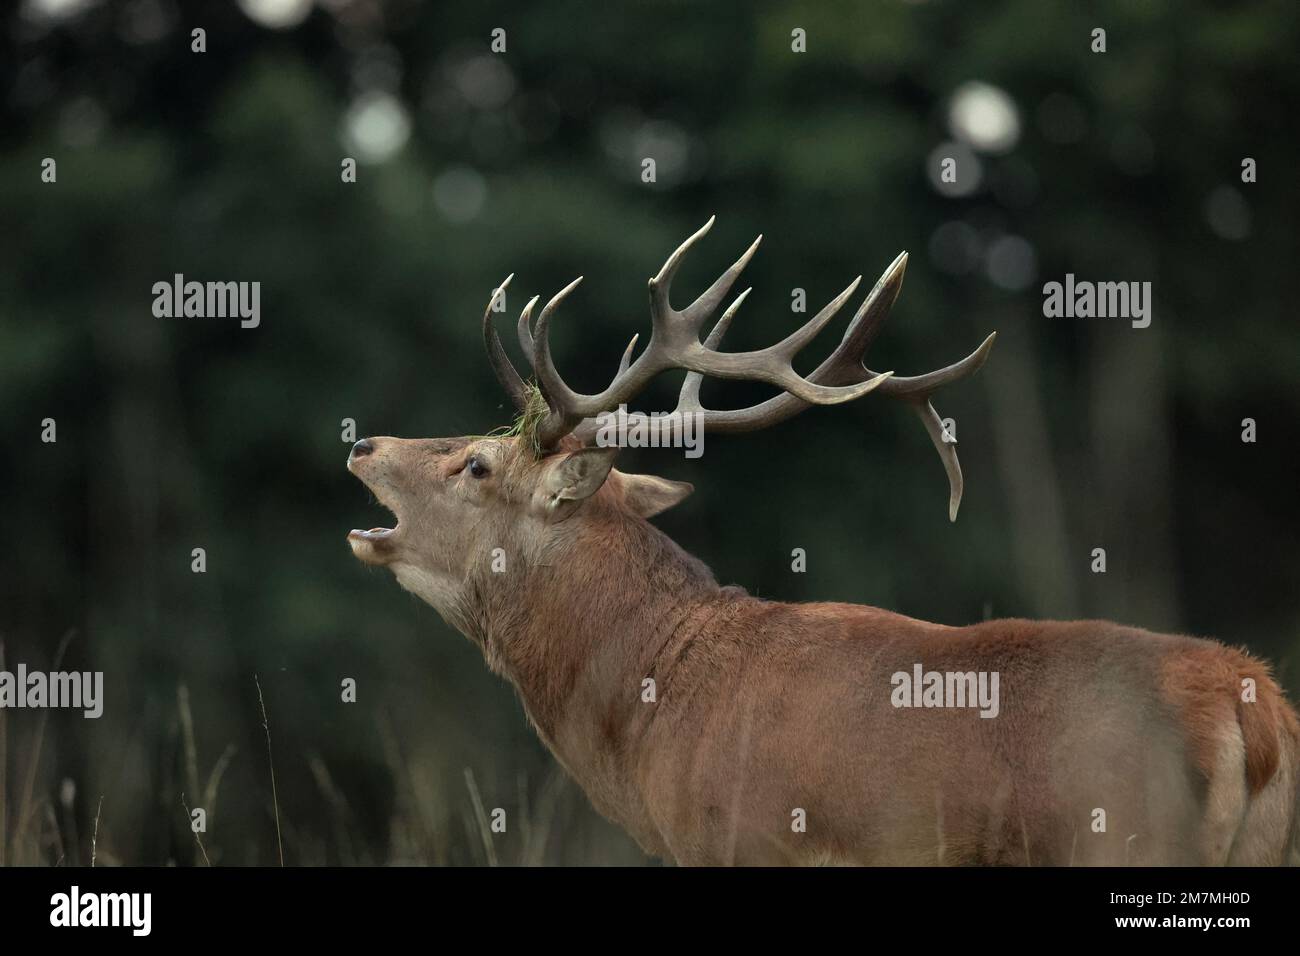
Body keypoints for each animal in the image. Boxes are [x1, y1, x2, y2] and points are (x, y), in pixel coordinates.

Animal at [346, 219, 1299, 866]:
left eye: (477, 464)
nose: (365, 444)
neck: (652, 724)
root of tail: (1254, 715)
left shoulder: (742, 840)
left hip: (1122, 836)